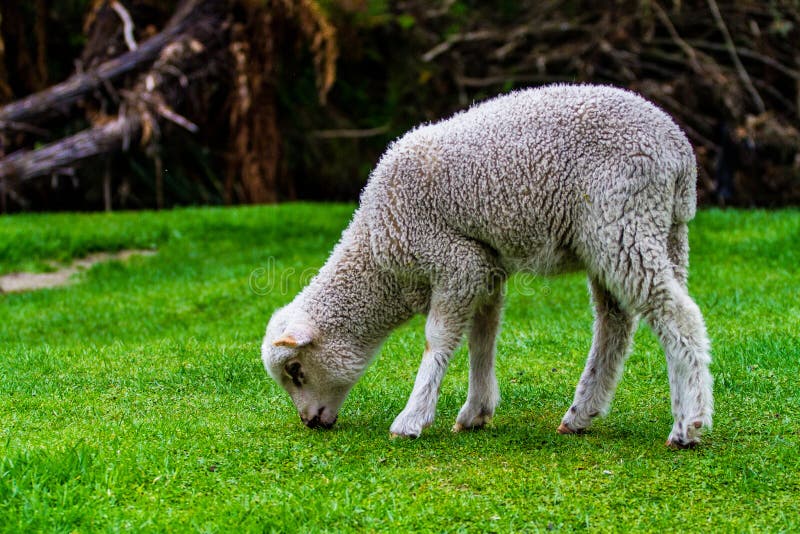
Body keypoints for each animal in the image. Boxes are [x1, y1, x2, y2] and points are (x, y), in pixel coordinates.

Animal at [262, 84, 713, 449]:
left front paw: (412, 418)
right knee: (617, 323)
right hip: (654, 231)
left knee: (678, 315)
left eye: (296, 371)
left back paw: (688, 426)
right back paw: (583, 413)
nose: (309, 422)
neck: (377, 253)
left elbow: (438, 340)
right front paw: (475, 411)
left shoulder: (454, 261)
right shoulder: (486, 264)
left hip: (623, 221)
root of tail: (679, 152)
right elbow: (482, 337)